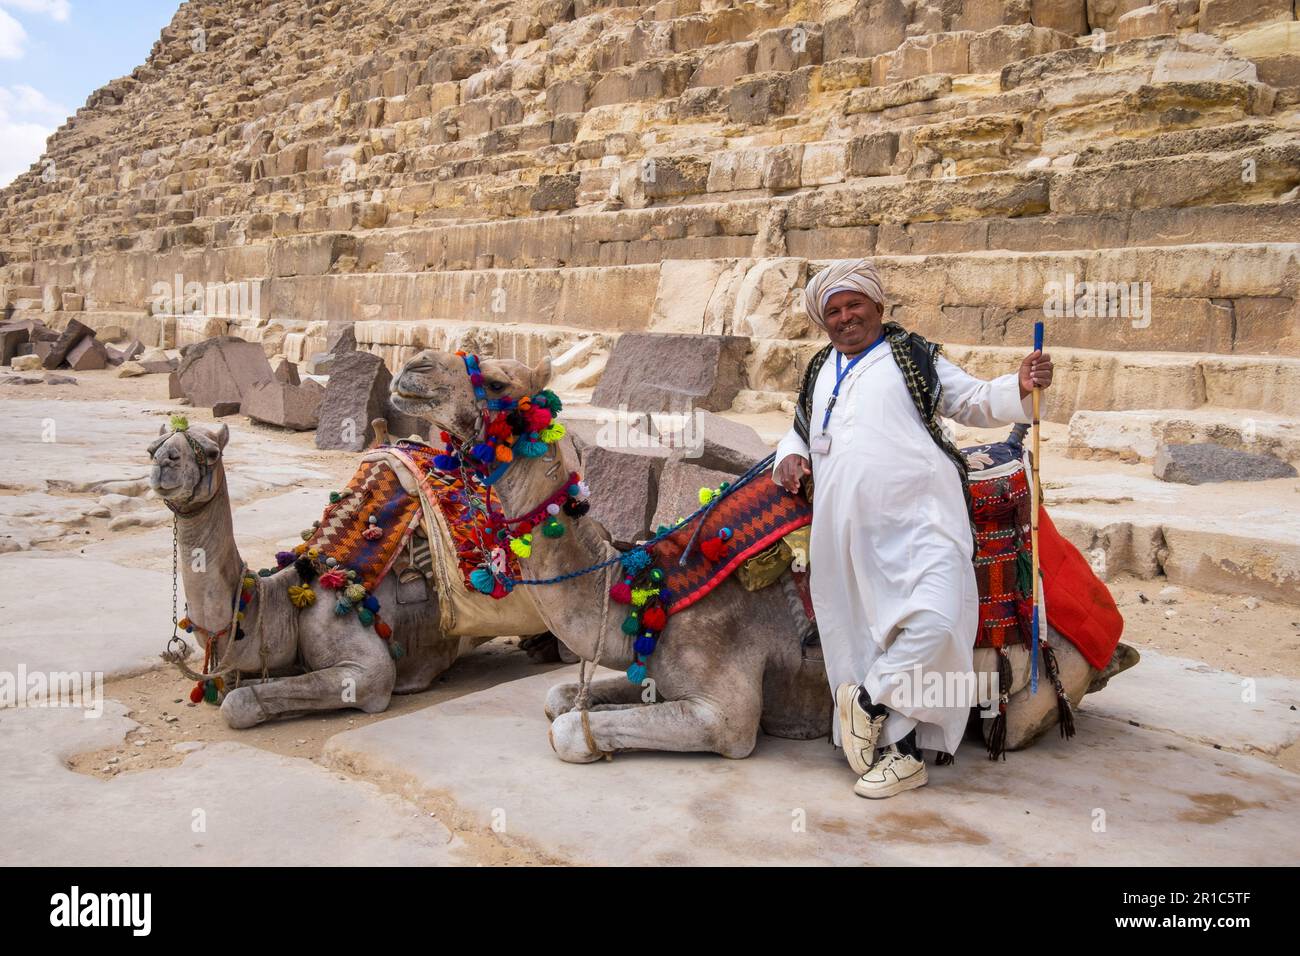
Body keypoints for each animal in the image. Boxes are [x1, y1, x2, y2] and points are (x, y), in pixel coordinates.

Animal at [146, 420, 552, 728]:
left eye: (211, 452)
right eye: (153, 448)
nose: (165, 461)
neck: (281, 602)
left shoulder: (366, 671)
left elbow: (238, 703)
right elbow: (236, 685)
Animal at [390, 349, 1138, 763]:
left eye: (495, 381)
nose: (412, 367)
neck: (645, 586)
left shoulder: (726, 712)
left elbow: (572, 732)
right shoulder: (658, 668)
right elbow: (555, 697)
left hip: (1030, 684)